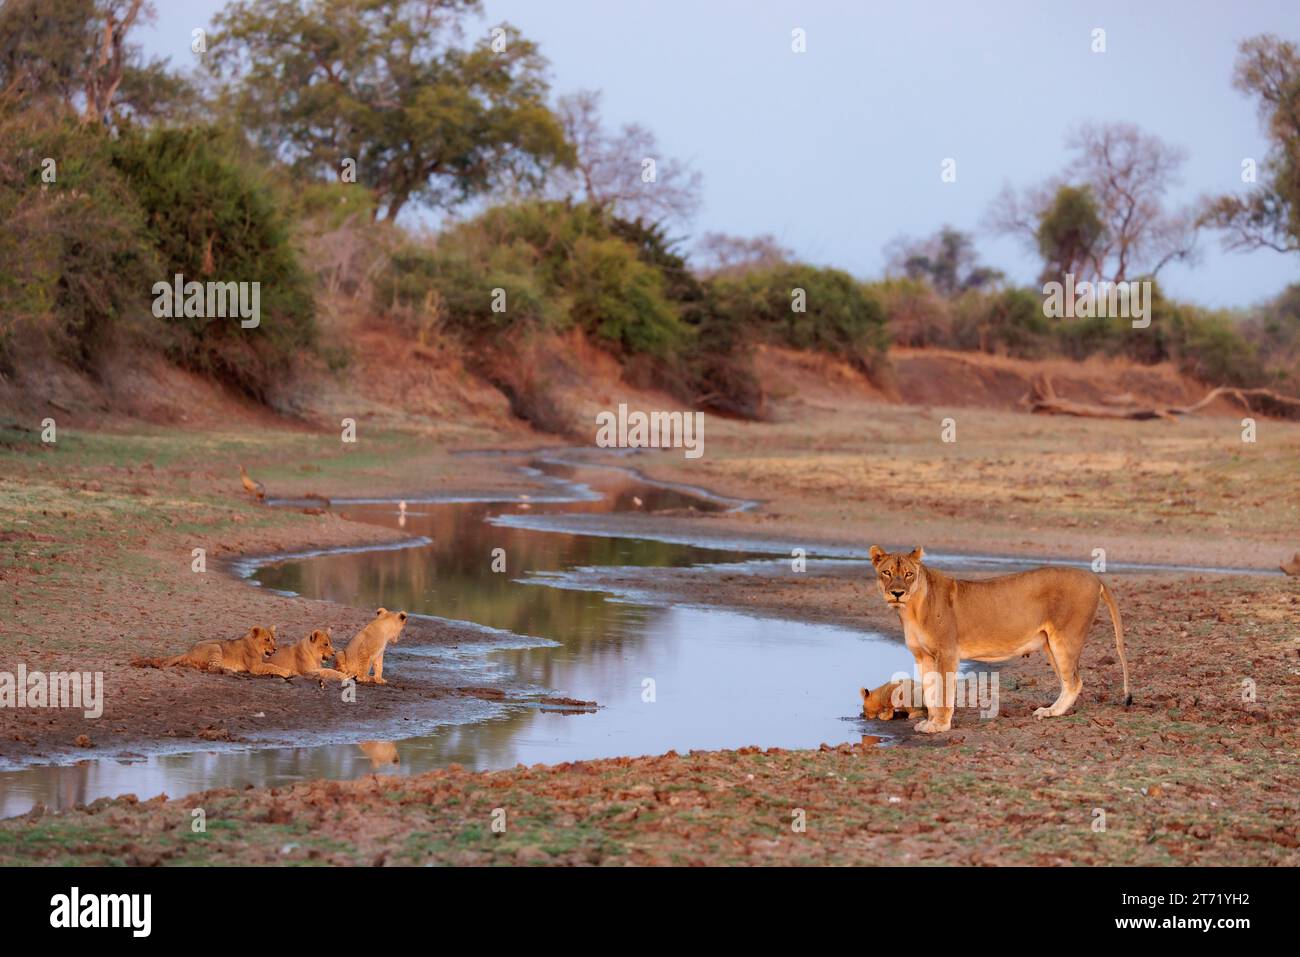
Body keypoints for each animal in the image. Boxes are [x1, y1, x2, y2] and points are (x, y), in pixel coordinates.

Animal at [131, 625, 293, 678]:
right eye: (267, 639)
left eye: (274, 639)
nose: (275, 649)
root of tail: (189, 651)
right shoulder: (255, 667)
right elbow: (272, 666)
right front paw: (287, 672)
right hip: (215, 647)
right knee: (212, 668)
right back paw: (229, 671)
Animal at [868, 546, 1130, 734]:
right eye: (887, 572)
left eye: (909, 574)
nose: (897, 593)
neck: (910, 609)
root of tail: (1093, 576)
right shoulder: (923, 656)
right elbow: (931, 692)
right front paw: (930, 721)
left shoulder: (947, 653)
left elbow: (943, 692)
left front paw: (939, 726)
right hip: (1051, 644)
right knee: (1070, 682)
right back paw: (1051, 711)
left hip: (1065, 640)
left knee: (1075, 681)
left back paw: (1051, 712)